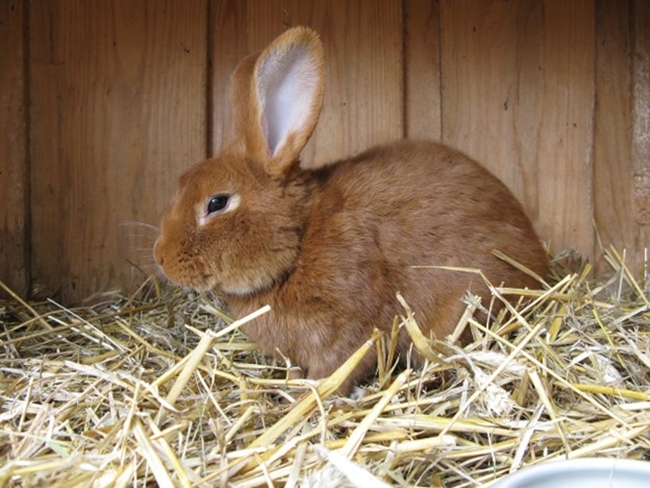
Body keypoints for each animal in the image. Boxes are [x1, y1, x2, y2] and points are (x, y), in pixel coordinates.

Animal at [154, 26, 548, 394]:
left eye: (217, 203)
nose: (161, 258)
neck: (300, 239)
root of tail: (542, 266)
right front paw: (292, 386)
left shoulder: (348, 329)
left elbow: (338, 367)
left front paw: (309, 396)